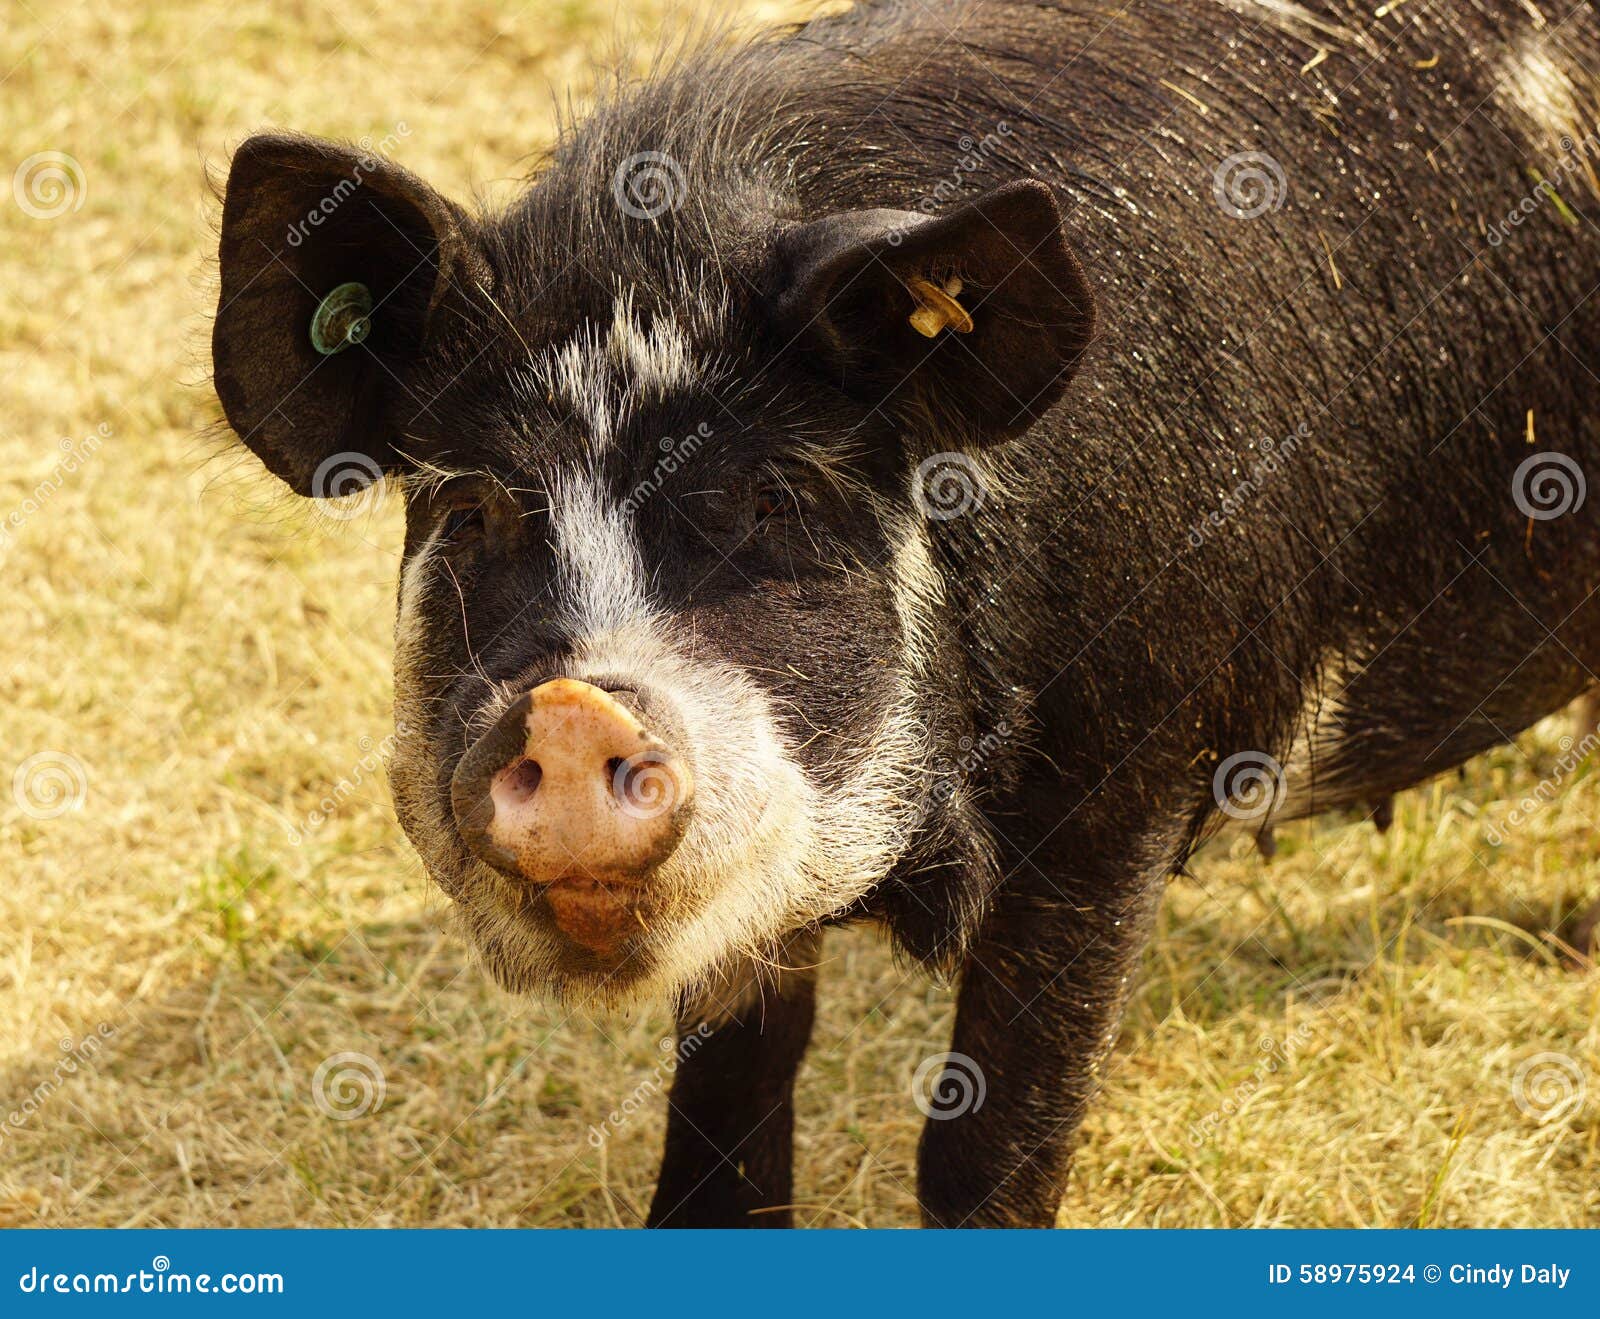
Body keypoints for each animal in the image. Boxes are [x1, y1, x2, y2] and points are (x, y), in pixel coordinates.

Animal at [211, 0, 1600, 1226]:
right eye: (478, 506)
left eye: (773, 493)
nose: (569, 705)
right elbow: (731, 1094)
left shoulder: (1129, 779)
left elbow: (994, 1134)